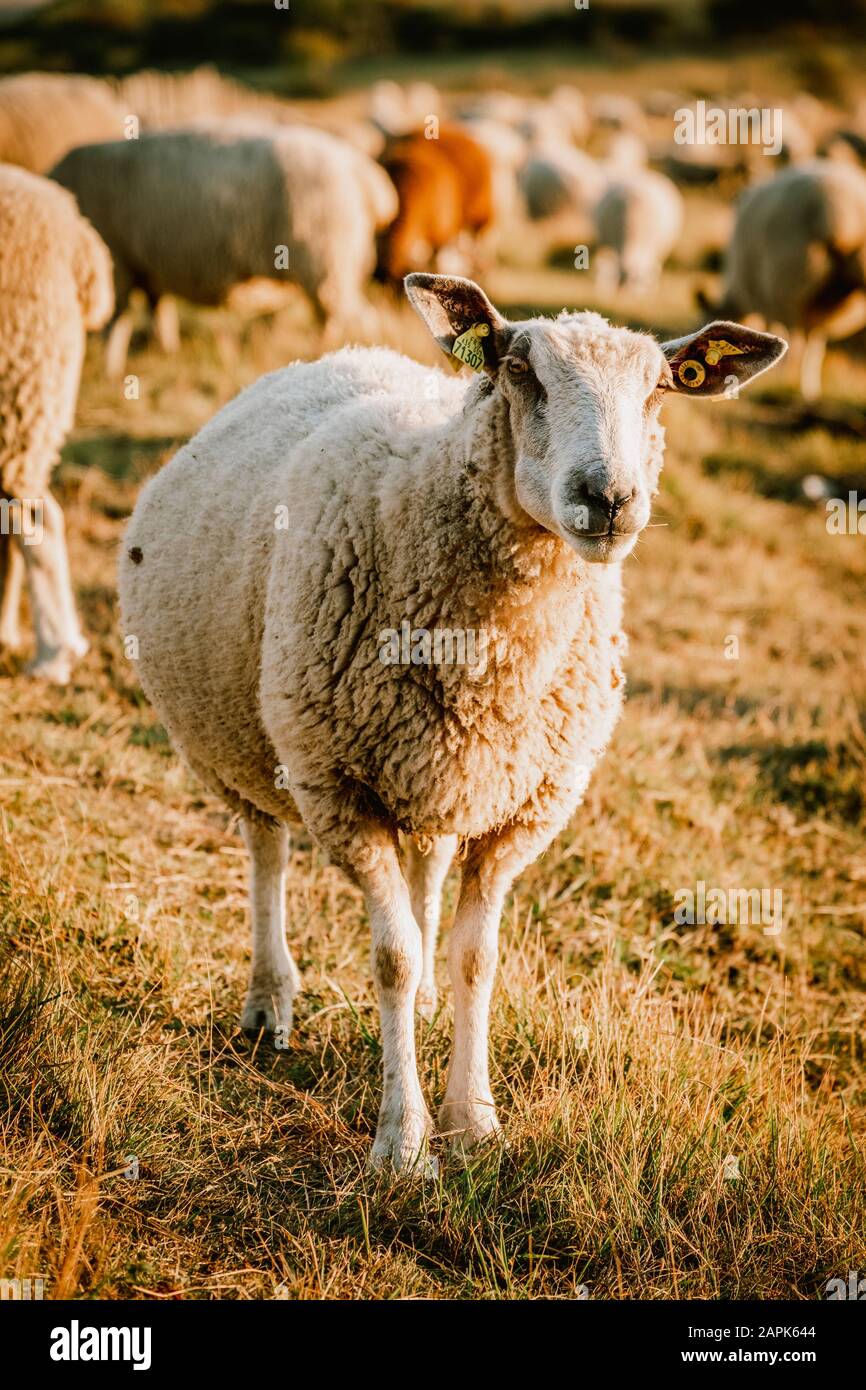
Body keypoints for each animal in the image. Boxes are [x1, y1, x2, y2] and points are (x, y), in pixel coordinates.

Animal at [51, 124, 396, 377]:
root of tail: (362, 171)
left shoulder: (117, 262)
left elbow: (116, 322)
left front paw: (109, 369)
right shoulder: (147, 265)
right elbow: (158, 308)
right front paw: (165, 348)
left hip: (325, 260)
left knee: (359, 318)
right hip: (331, 265)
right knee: (332, 317)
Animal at [119, 272, 785, 1174]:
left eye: (658, 388)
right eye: (521, 372)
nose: (609, 499)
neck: (499, 652)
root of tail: (331, 354)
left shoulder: (522, 808)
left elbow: (479, 959)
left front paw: (474, 1117)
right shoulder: (340, 787)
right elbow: (391, 958)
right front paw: (403, 1140)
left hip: (436, 765)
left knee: (426, 864)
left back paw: (426, 999)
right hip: (247, 748)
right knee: (266, 853)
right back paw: (269, 1002)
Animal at [701, 160, 866, 400]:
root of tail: (844, 213)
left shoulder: (766, 299)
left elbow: (779, 334)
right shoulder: (817, 313)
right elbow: (815, 346)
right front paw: (809, 386)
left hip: (790, 280)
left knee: (794, 339)